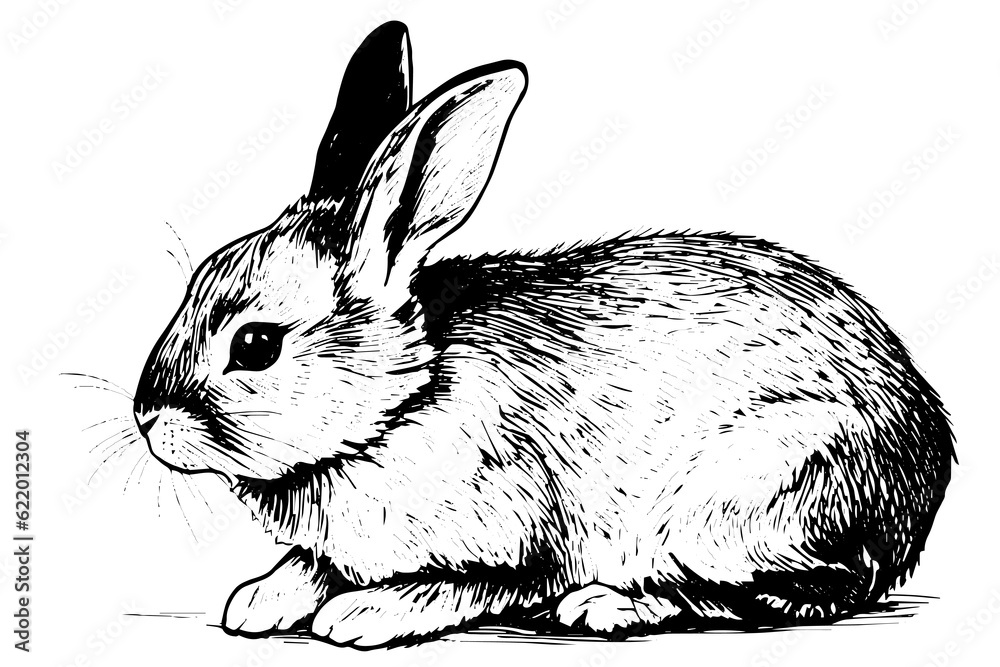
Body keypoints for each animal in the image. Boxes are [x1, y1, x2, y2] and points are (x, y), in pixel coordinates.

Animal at [132, 21, 953, 647]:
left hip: (738, 502)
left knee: (793, 593)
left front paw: (363, 615)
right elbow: (312, 564)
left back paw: (606, 606)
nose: (146, 417)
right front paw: (260, 599)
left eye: (255, 346)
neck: (399, 407)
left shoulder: (520, 537)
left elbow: (470, 585)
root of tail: (920, 472)